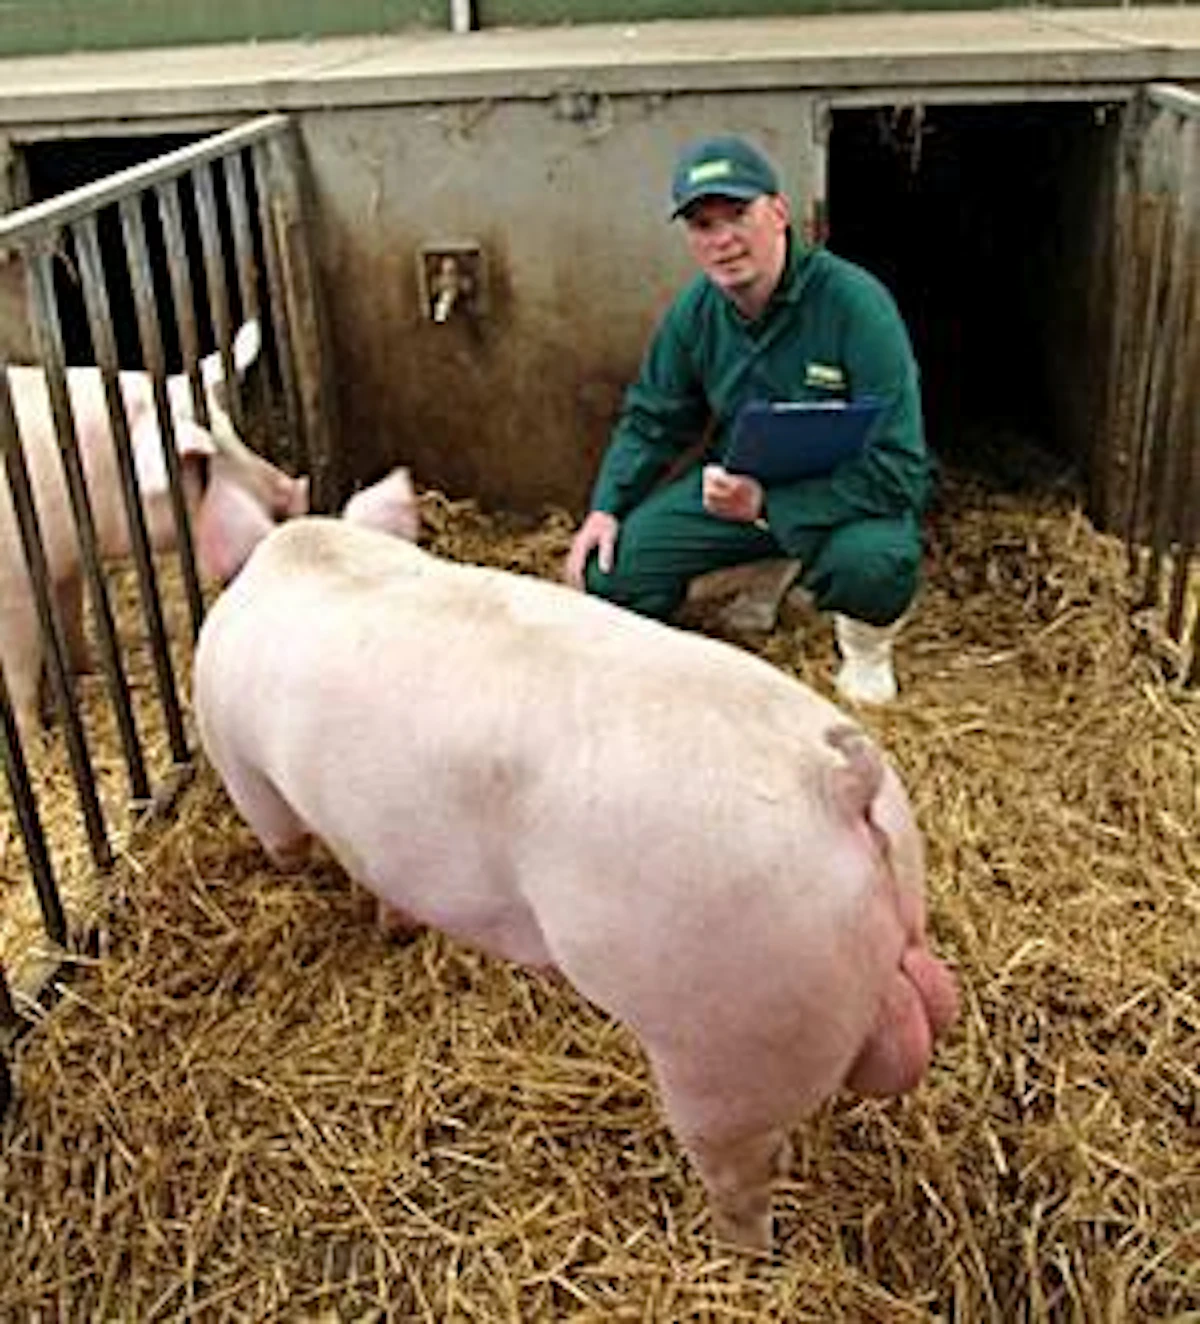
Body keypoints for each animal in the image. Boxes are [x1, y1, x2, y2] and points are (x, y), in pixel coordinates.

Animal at [0, 321, 308, 739]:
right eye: (198, 463)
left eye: (231, 430)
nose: (295, 492)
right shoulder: (12, 591)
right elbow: (21, 667)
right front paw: (36, 738)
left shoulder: (66, 564)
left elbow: (71, 618)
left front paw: (89, 670)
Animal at [192, 518, 958, 1251]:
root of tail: (839, 782)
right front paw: (392, 923)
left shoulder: (241, 765)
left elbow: (281, 836)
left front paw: (306, 874)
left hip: (728, 1038)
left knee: (741, 1178)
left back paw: (728, 1252)